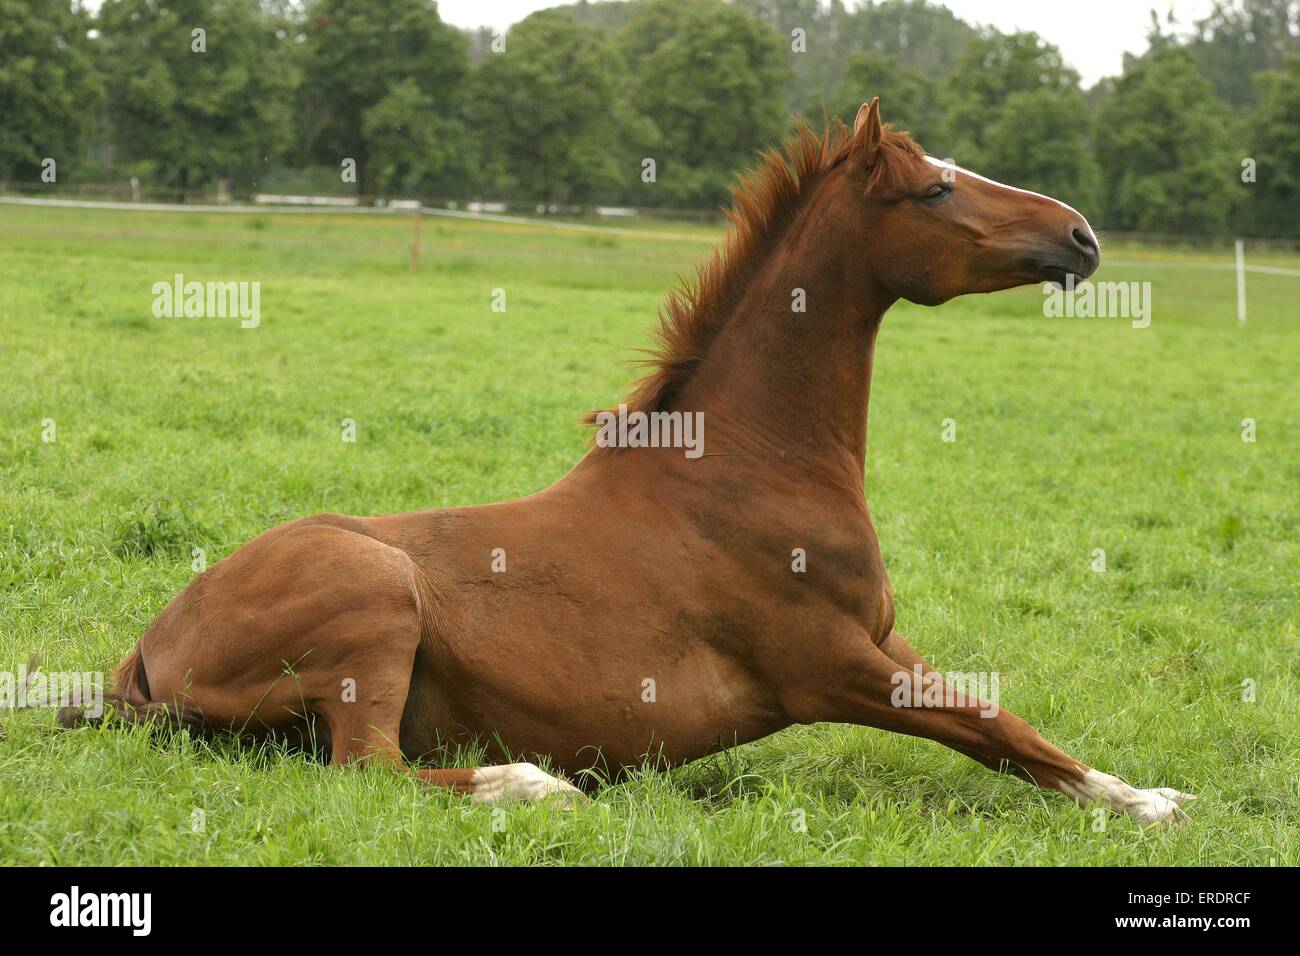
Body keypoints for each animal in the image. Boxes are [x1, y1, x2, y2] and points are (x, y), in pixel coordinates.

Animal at [63, 99, 1194, 824]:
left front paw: (1145, 791)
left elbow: (1009, 722)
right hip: (374, 596)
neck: (743, 467)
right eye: (933, 190)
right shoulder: (832, 666)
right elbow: (1001, 725)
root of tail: (148, 652)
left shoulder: (881, 640)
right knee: (369, 773)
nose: (1080, 237)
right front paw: (1153, 802)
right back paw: (534, 784)